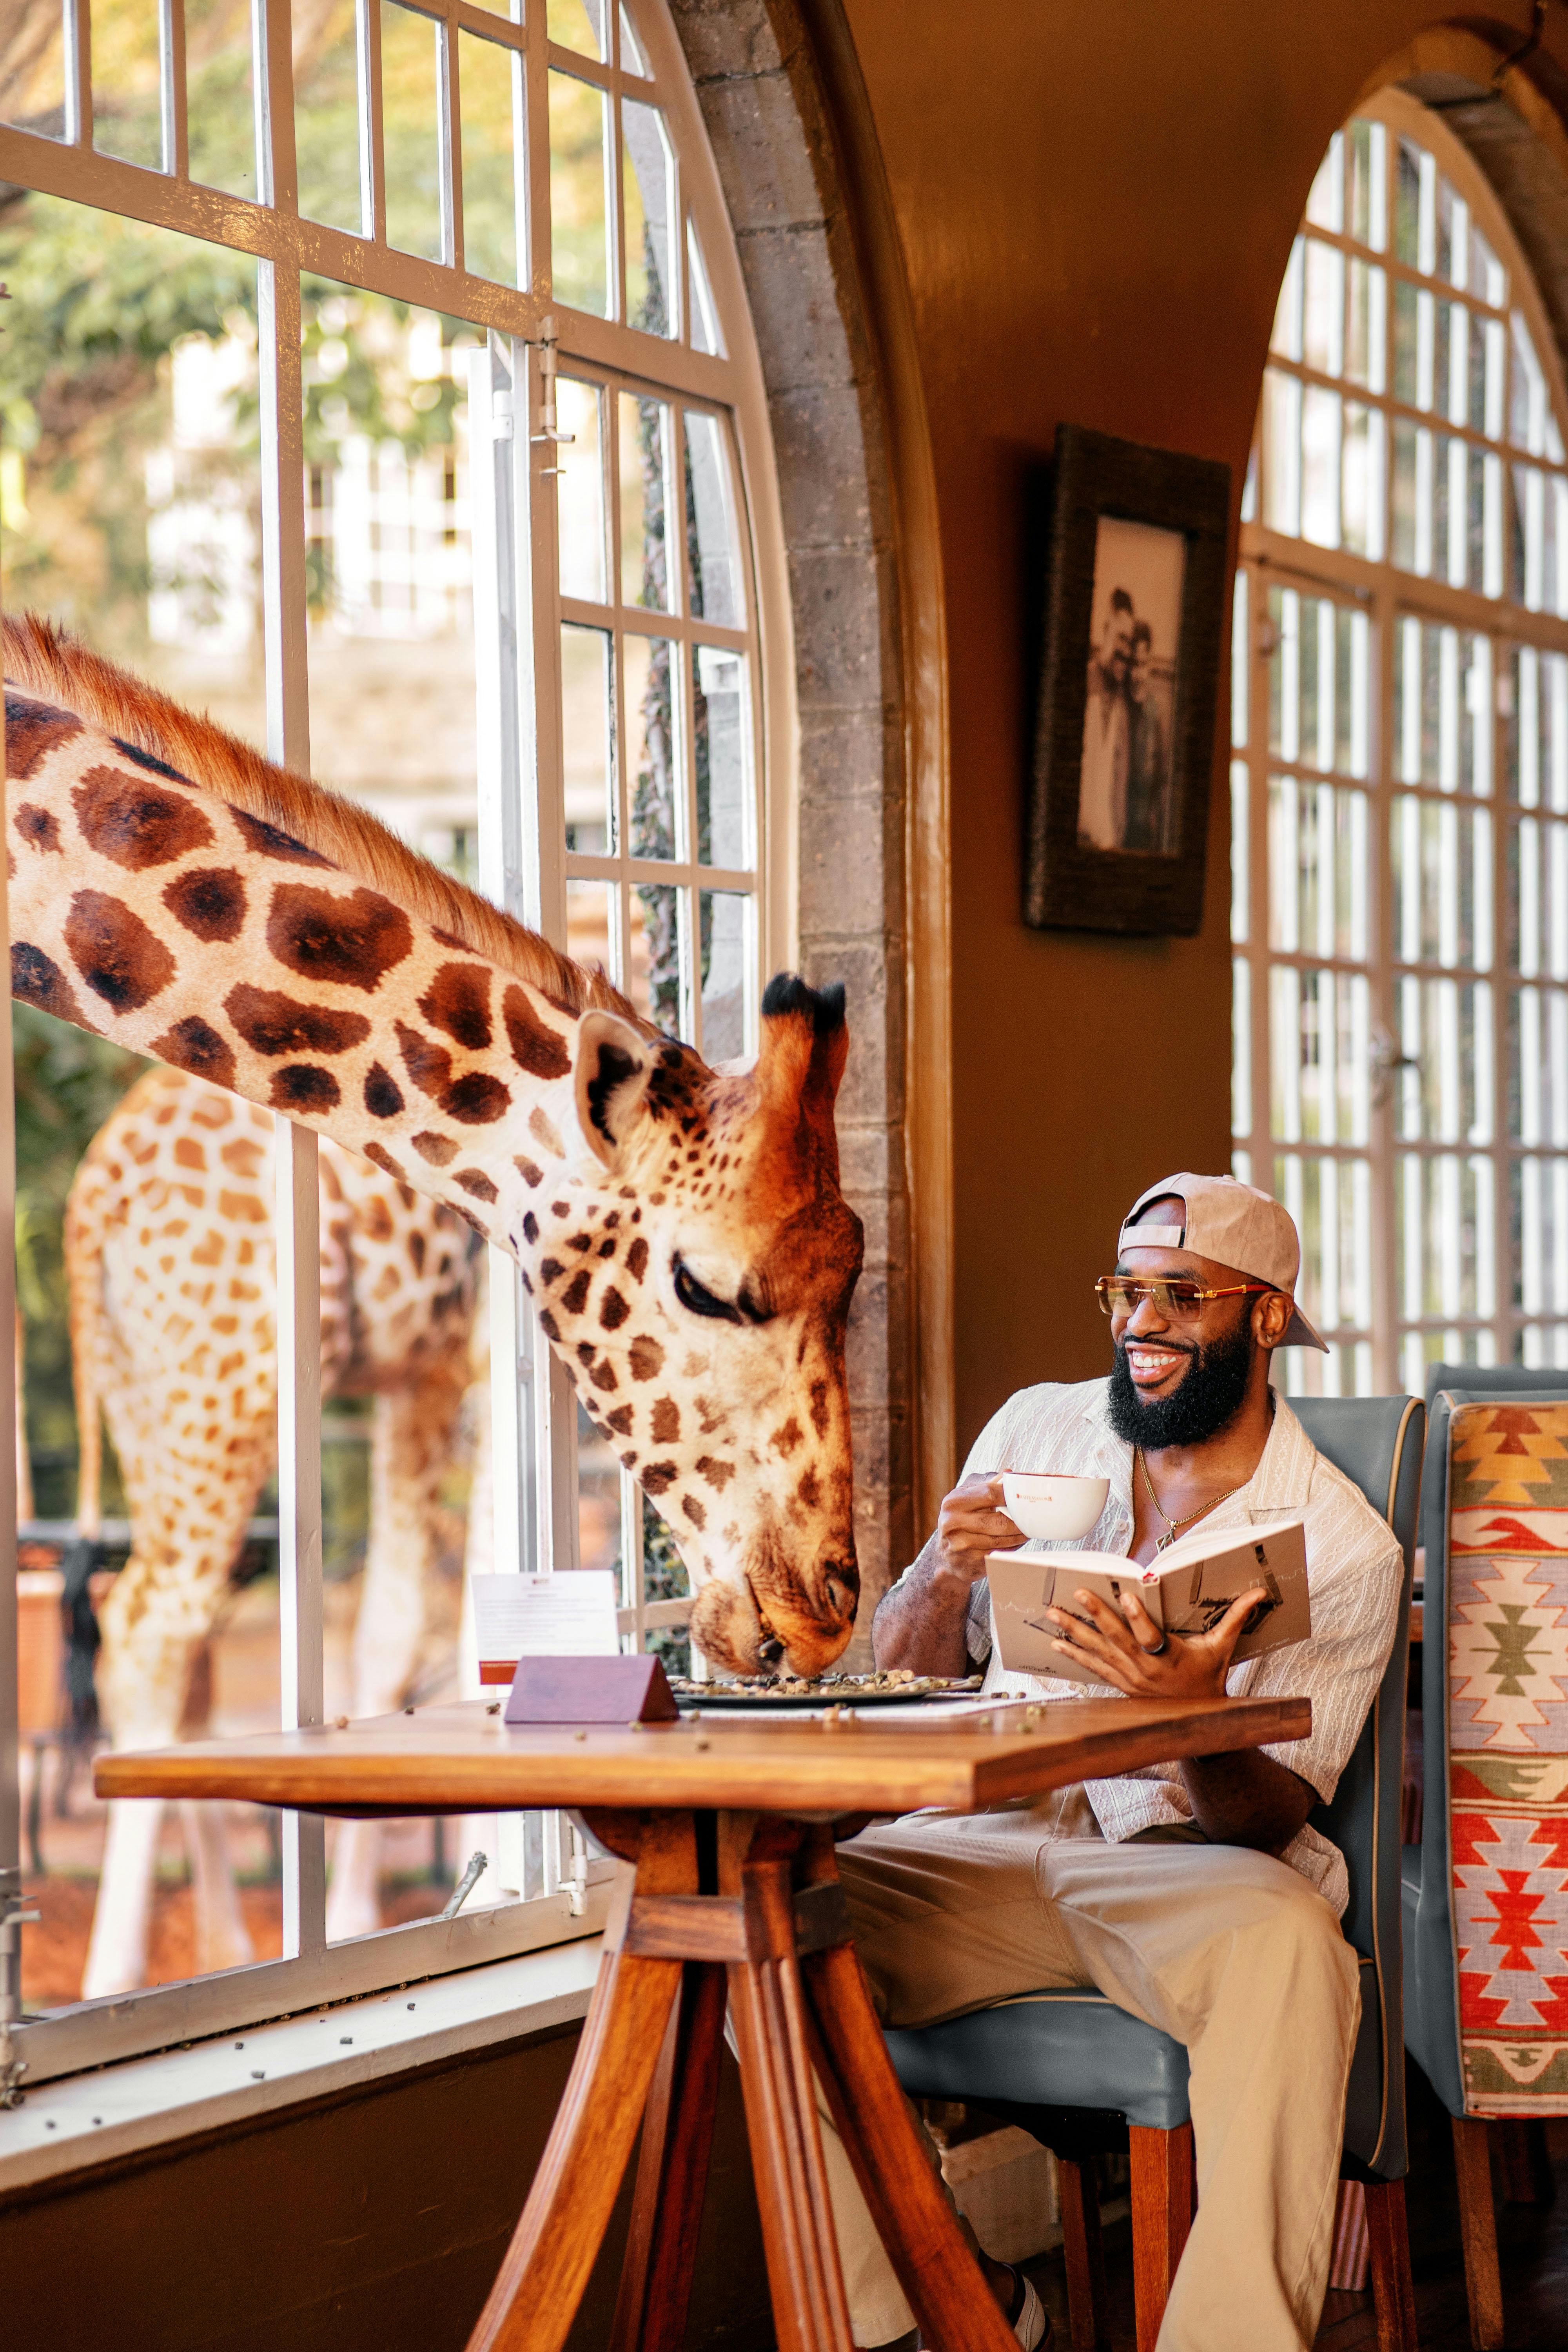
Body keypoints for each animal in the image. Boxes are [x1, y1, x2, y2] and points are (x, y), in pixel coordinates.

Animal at [4, 616, 864, 1708]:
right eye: (700, 1285)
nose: (821, 1619)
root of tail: (92, 1203)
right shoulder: (464, 1374)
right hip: (218, 1395)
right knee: (159, 1623)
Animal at [67, 1063, 483, 1996]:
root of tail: (94, 1201)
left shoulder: (418, 1370)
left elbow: (395, 1631)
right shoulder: (455, 1362)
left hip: (147, 1405)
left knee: (172, 1651)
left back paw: (223, 1951)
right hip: (226, 1396)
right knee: (153, 1632)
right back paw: (114, 1979)